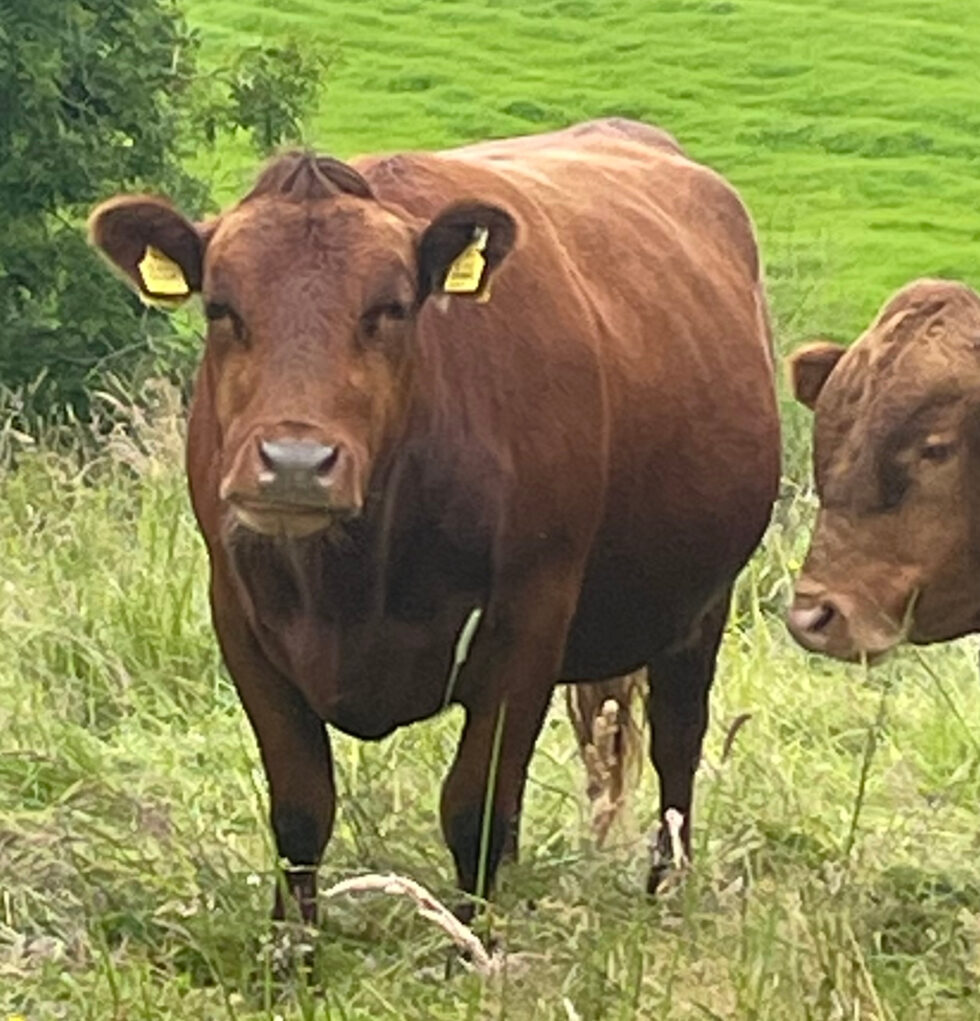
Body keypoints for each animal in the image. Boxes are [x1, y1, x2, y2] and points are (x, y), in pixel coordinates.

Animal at [88, 118, 780, 925]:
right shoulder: (240, 618)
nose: (295, 463)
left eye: (389, 308)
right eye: (221, 308)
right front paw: (292, 943)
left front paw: (472, 943)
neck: (354, 579)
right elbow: (300, 811)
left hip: (700, 607)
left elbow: (474, 812)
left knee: (678, 747)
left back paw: (665, 888)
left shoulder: (528, 620)